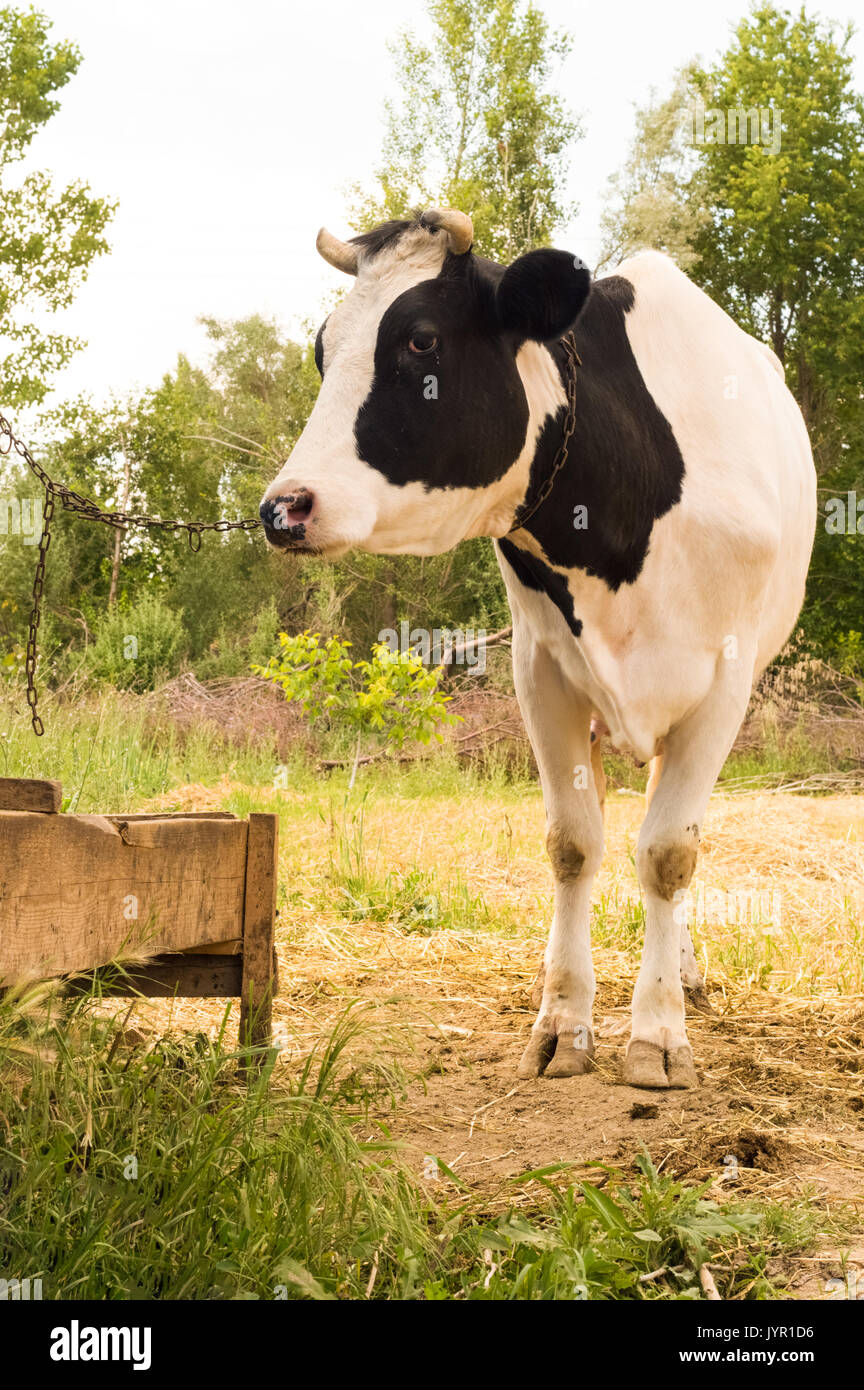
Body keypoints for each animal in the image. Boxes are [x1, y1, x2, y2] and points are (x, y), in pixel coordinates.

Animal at [260, 207, 816, 1090]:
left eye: (421, 341)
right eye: (323, 348)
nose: (284, 507)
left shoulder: (724, 681)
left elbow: (669, 852)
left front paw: (658, 1032)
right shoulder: (542, 671)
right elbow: (573, 843)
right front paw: (563, 1022)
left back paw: (682, 971)